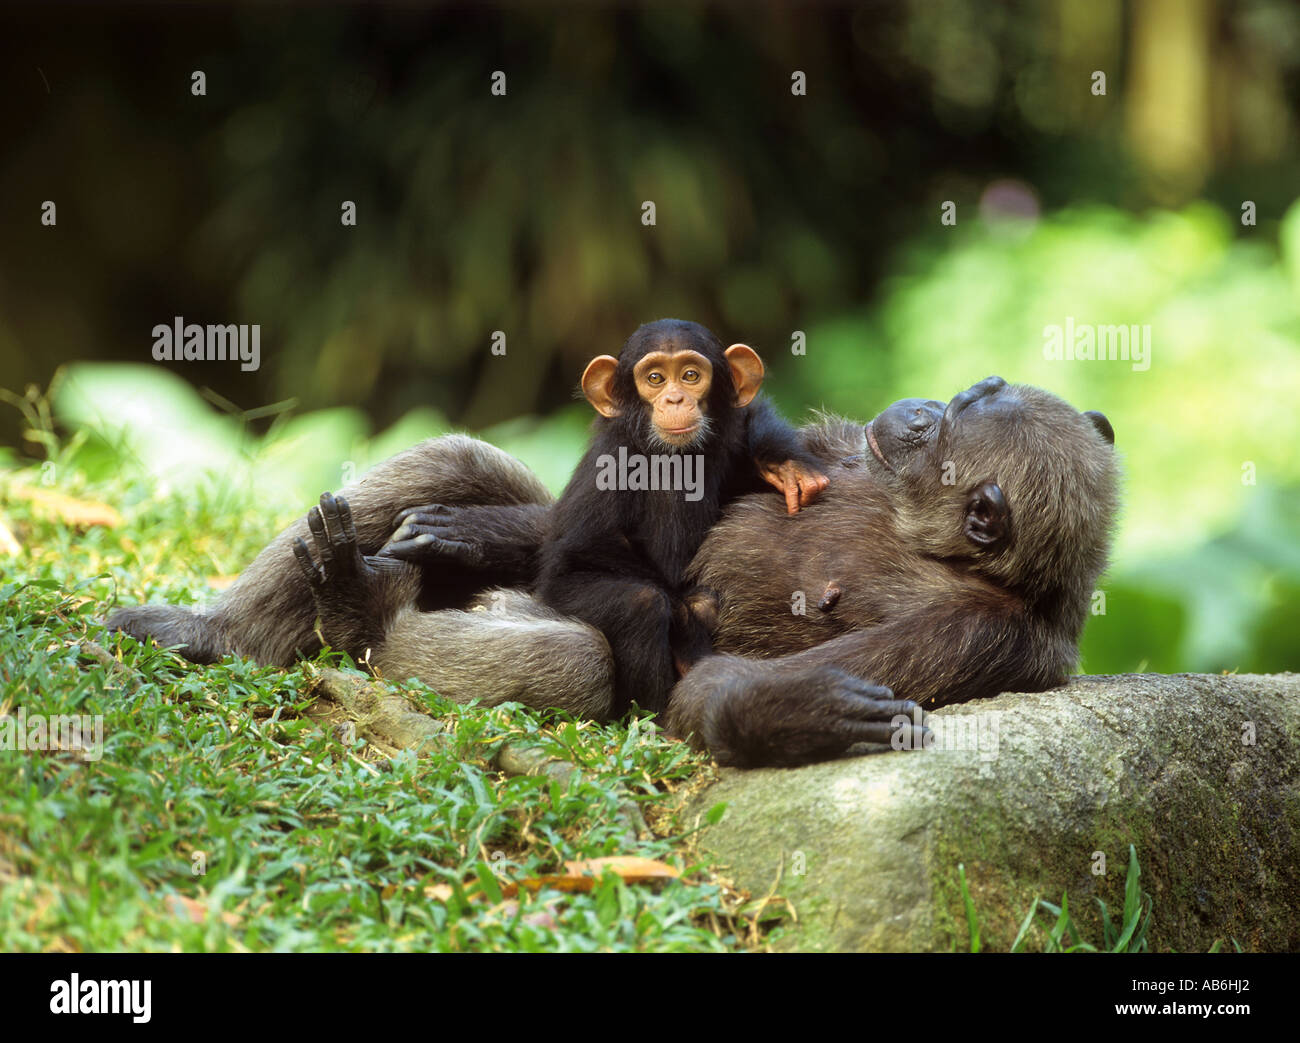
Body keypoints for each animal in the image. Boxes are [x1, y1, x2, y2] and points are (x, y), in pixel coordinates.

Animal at [108, 377, 1117, 769]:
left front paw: (789, 710)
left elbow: (716, 684)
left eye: (949, 424)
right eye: (964, 398)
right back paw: (217, 628)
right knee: (455, 461)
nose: (918, 405)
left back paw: (356, 612)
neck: (920, 537)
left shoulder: (987, 636)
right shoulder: (837, 451)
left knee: (579, 659)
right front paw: (471, 531)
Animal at [529, 318, 828, 717]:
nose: (674, 399)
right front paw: (688, 621)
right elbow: (582, 549)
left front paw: (785, 465)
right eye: (655, 378)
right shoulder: (613, 462)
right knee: (641, 603)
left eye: (690, 375)